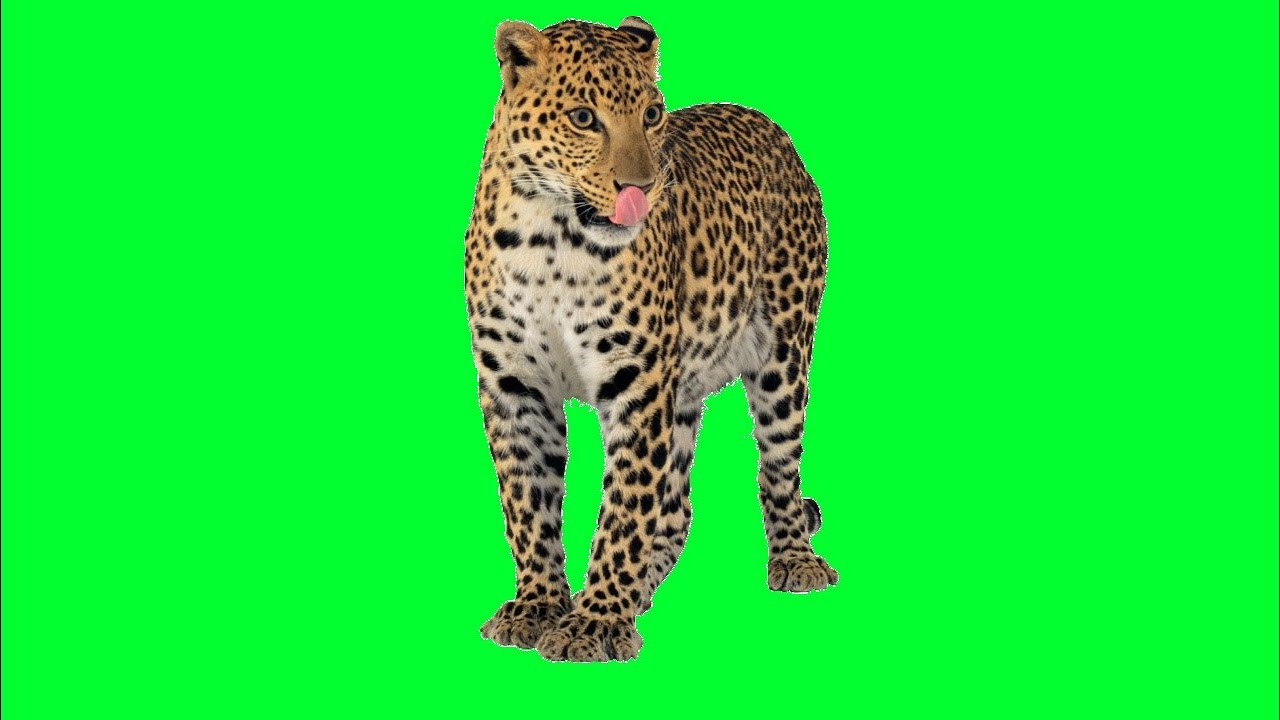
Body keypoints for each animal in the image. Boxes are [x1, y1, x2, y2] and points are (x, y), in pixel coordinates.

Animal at [464, 16, 837, 662]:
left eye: (652, 114)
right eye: (583, 117)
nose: (641, 185)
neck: (550, 241)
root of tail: (773, 130)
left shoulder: (635, 382)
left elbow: (624, 506)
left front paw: (595, 622)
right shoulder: (514, 384)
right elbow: (527, 503)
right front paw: (539, 606)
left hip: (783, 353)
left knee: (778, 465)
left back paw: (795, 559)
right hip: (682, 383)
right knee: (676, 507)